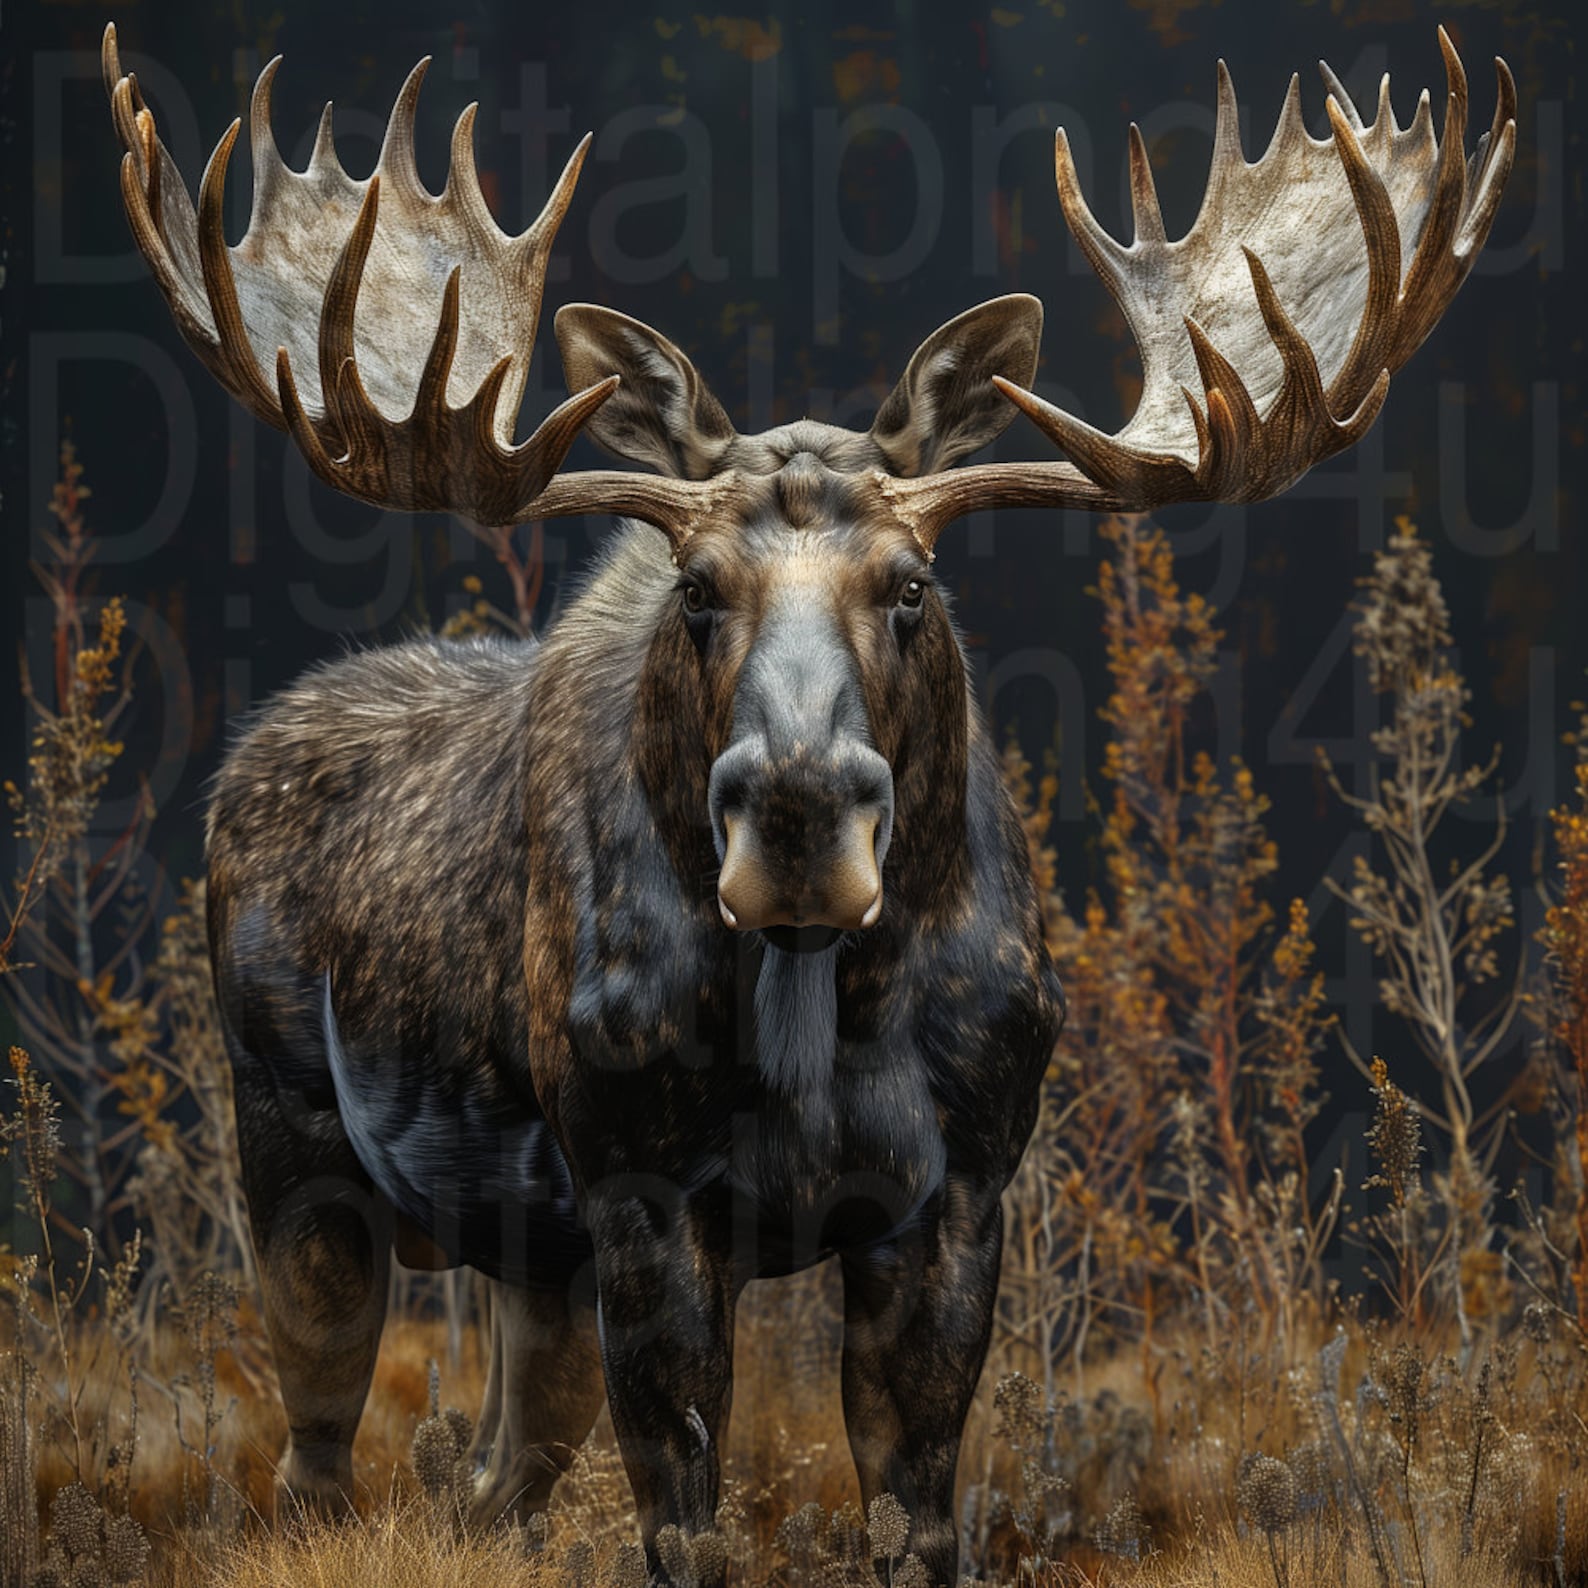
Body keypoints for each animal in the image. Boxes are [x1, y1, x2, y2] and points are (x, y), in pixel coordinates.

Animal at [102, 21, 1514, 1586]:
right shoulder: (641, 1188)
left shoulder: (958, 1192)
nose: (797, 813)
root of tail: (239, 762)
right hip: (293, 1143)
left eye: (911, 587)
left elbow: (915, 1517)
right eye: (695, 589)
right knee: (315, 1465)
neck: (825, 1008)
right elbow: (683, 1523)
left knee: (495, 1475)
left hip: (529, 1250)